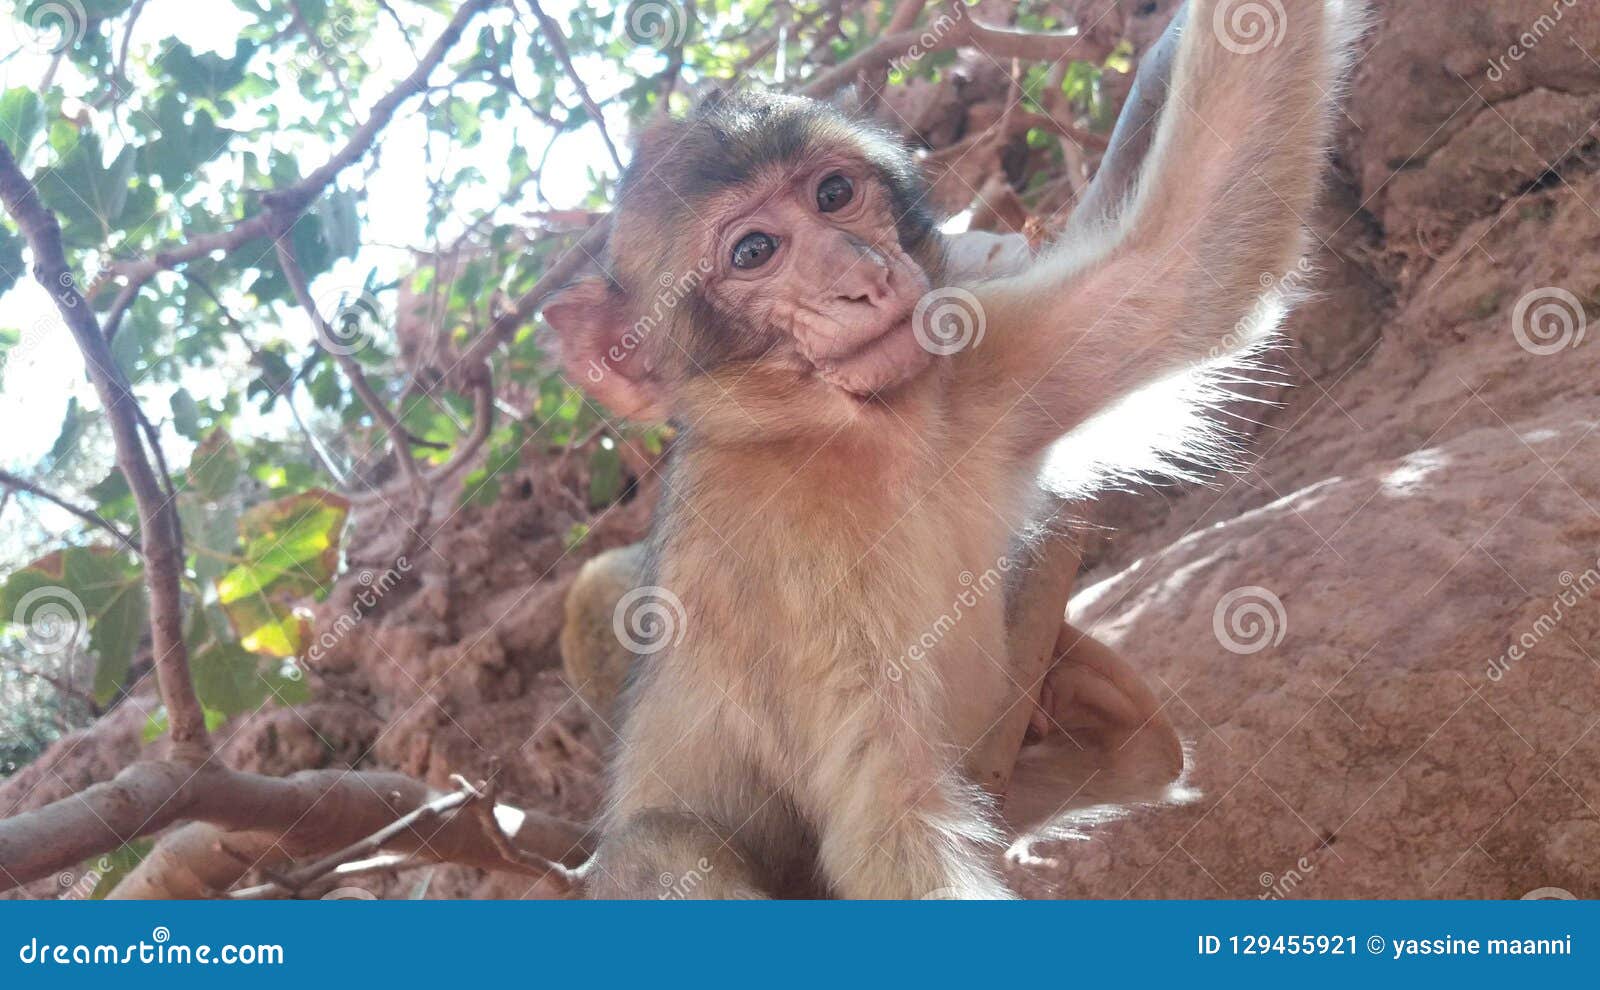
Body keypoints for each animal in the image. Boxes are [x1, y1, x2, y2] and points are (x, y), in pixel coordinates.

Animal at [545, 0, 1363, 898]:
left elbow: (1186, 265)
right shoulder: (777, 561)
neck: (864, 437)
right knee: (655, 846)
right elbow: (890, 828)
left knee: (1149, 747)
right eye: (754, 251)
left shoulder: (975, 350)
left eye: (834, 194)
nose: (863, 274)